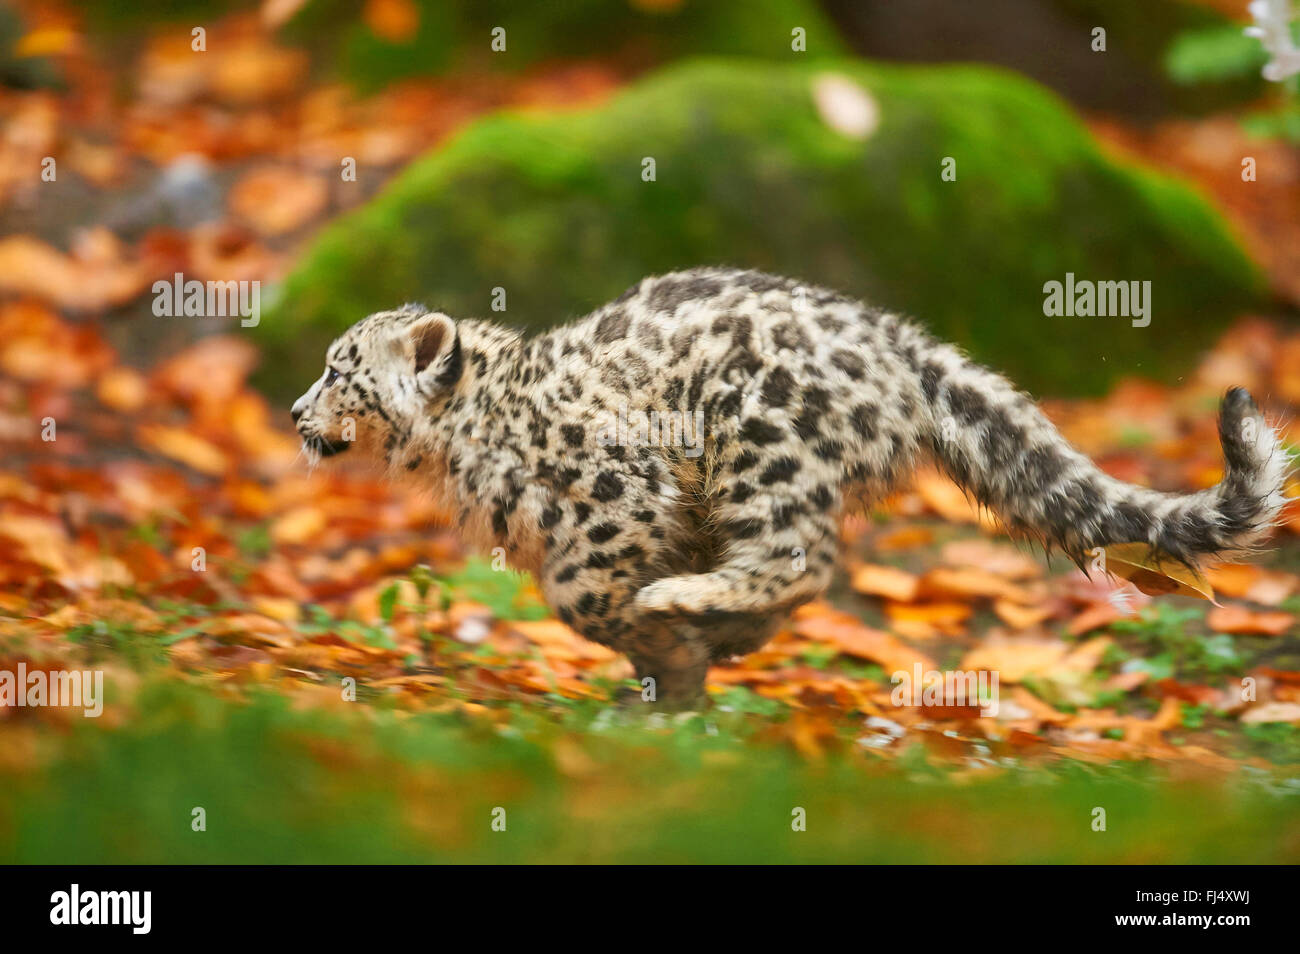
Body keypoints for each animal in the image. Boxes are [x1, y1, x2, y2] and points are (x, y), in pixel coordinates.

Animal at [291, 266, 1290, 707]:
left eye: (340, 368)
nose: (298, 410)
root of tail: (901, 344)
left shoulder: (615, 496)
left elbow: (580, 592)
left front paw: (671, 647)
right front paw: (683, 673)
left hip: (763, 444)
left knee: (801, 556)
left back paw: (685, 603)